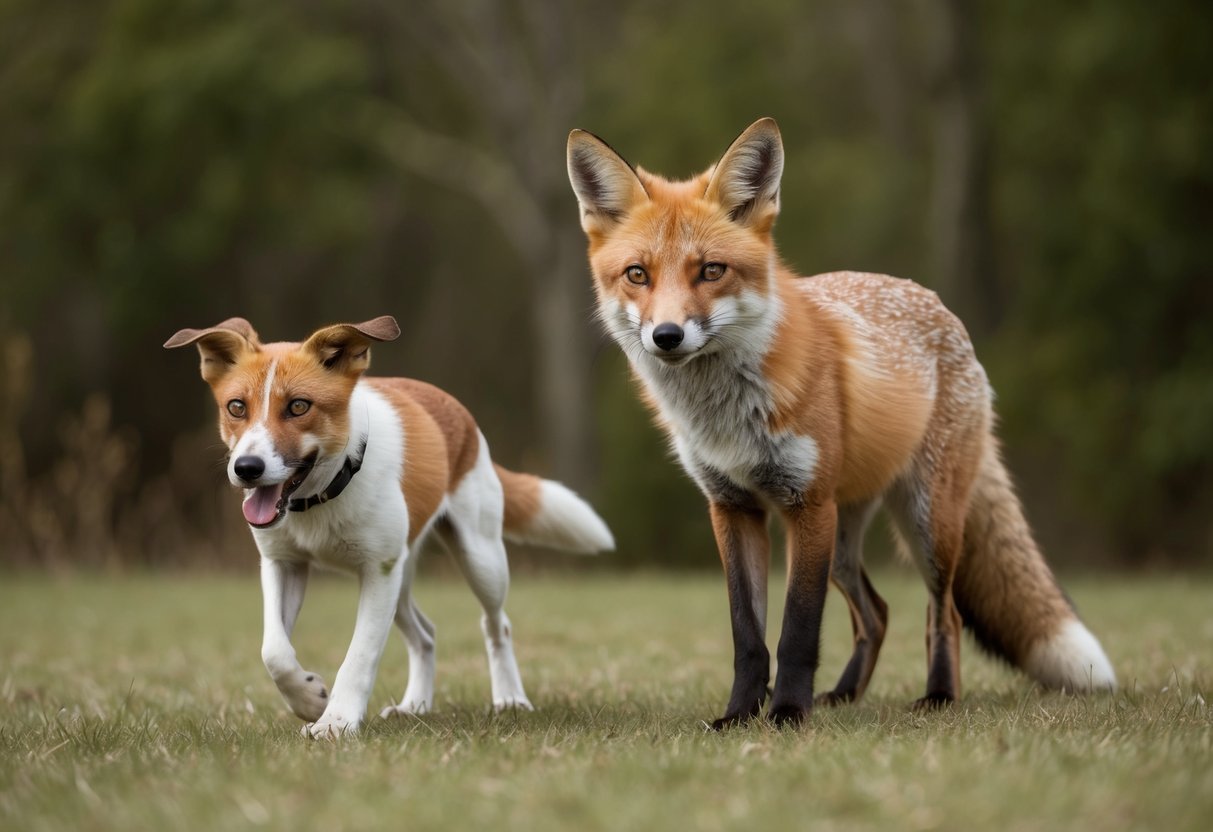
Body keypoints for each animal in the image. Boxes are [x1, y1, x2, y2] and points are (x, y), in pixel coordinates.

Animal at [566, 117, 1116, 727]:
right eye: (638, 274)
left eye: (711, 271)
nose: (666, 336)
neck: (726, 416)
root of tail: (942, 308)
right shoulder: (734, 508)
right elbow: (748, 636)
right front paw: (739, 716)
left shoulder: (807, 506)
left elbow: (797, 632)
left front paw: (786, 713)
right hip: (844, 538)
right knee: (877, 612)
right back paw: (847, 694)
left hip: (924, 523)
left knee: (942, 613)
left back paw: (938, 696)